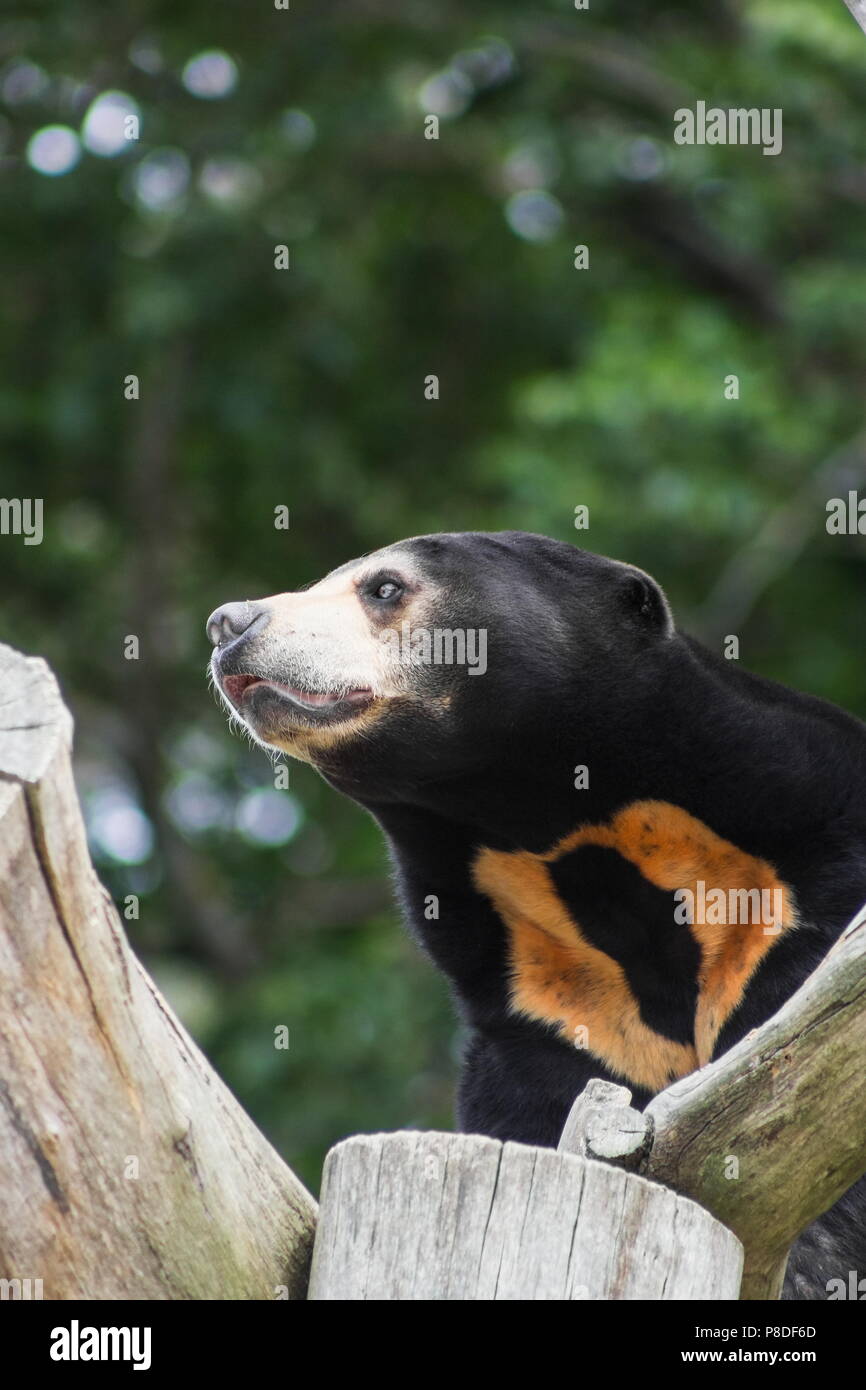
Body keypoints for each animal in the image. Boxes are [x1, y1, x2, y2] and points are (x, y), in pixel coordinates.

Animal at [206, 530, 866, 1300]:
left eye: (384, 588)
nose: (228, 624)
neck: (546, 817)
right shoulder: (548, 995)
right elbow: (529, 1102)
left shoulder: (805, 870)